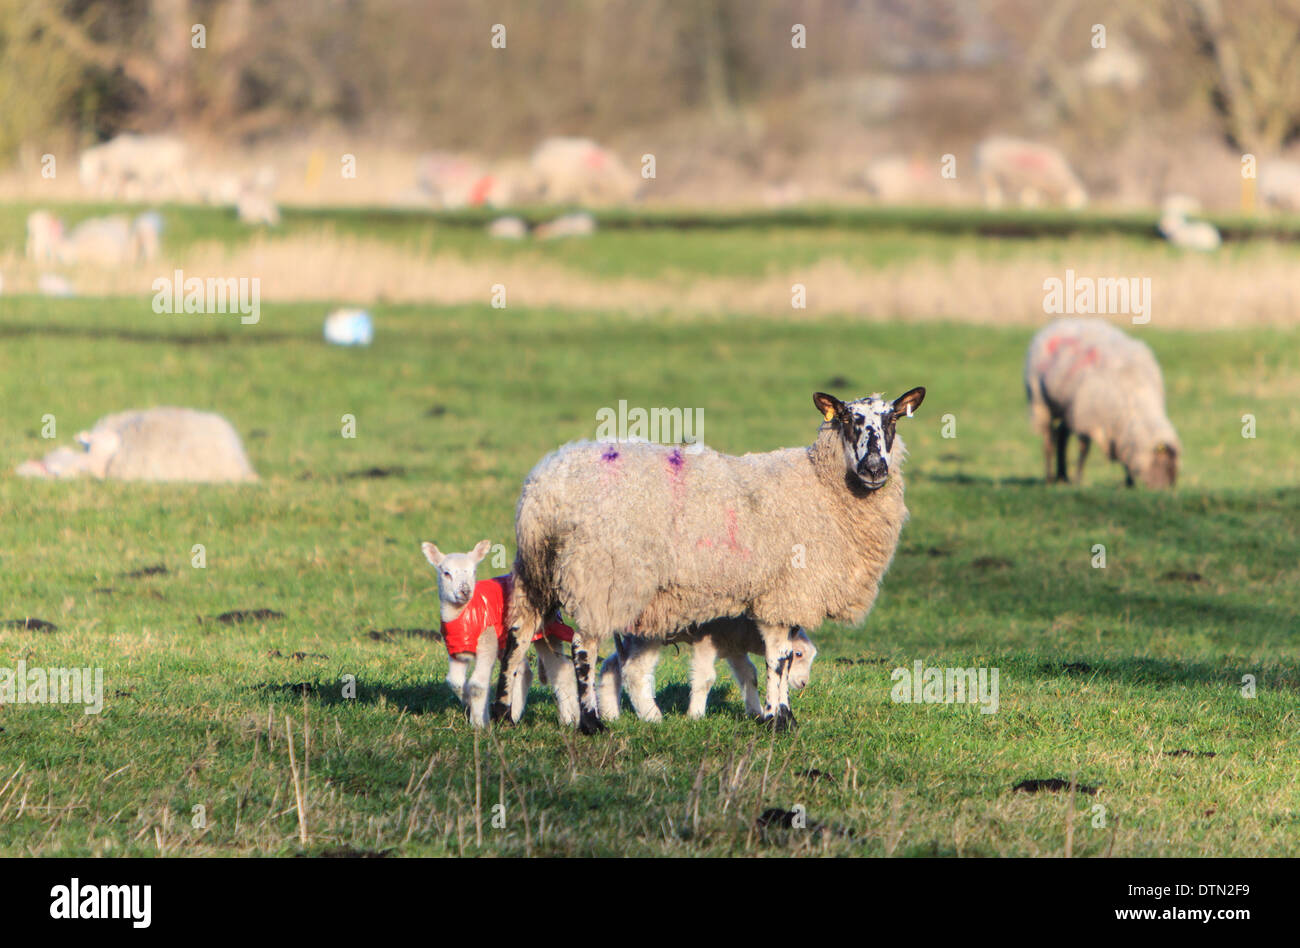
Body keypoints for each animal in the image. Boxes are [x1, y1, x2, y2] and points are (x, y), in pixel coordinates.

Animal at [421, 541, 578, 727]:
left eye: (474, 571)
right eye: (446, 573)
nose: (465, 591)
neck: (464, 614)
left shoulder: (487, 640)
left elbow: (477, 684)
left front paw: (479, 724)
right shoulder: (456, 648)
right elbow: (455, 681)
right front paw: (468, 702)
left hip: (547, 631)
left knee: (560, 669)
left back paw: (569, 719)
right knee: (522, 670)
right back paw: (514, 715)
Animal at [598, 619, 817, 722]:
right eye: (798, 654)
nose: (804, 683)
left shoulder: (734, 647)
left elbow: (750, 675)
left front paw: (755, 711)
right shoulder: (706, 640)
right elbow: (706, 679)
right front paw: (695, 715)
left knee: (612, 665)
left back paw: (610, 714)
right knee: (634, 671)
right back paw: (652, 716)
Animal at [1025, 317, 1179, 488]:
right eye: (1163, 463)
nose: (1167, 489)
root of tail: (1057, 323)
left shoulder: (1119, 429)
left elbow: (1126, 455)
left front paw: (1129, 483)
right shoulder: (1086, 418)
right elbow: (1084, 450)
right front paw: (1079, 479)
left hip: (1068, 408)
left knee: (1061, 437)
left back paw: (1063, 476)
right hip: (1041, 404)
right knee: (1048, 442)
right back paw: (1049, 478)